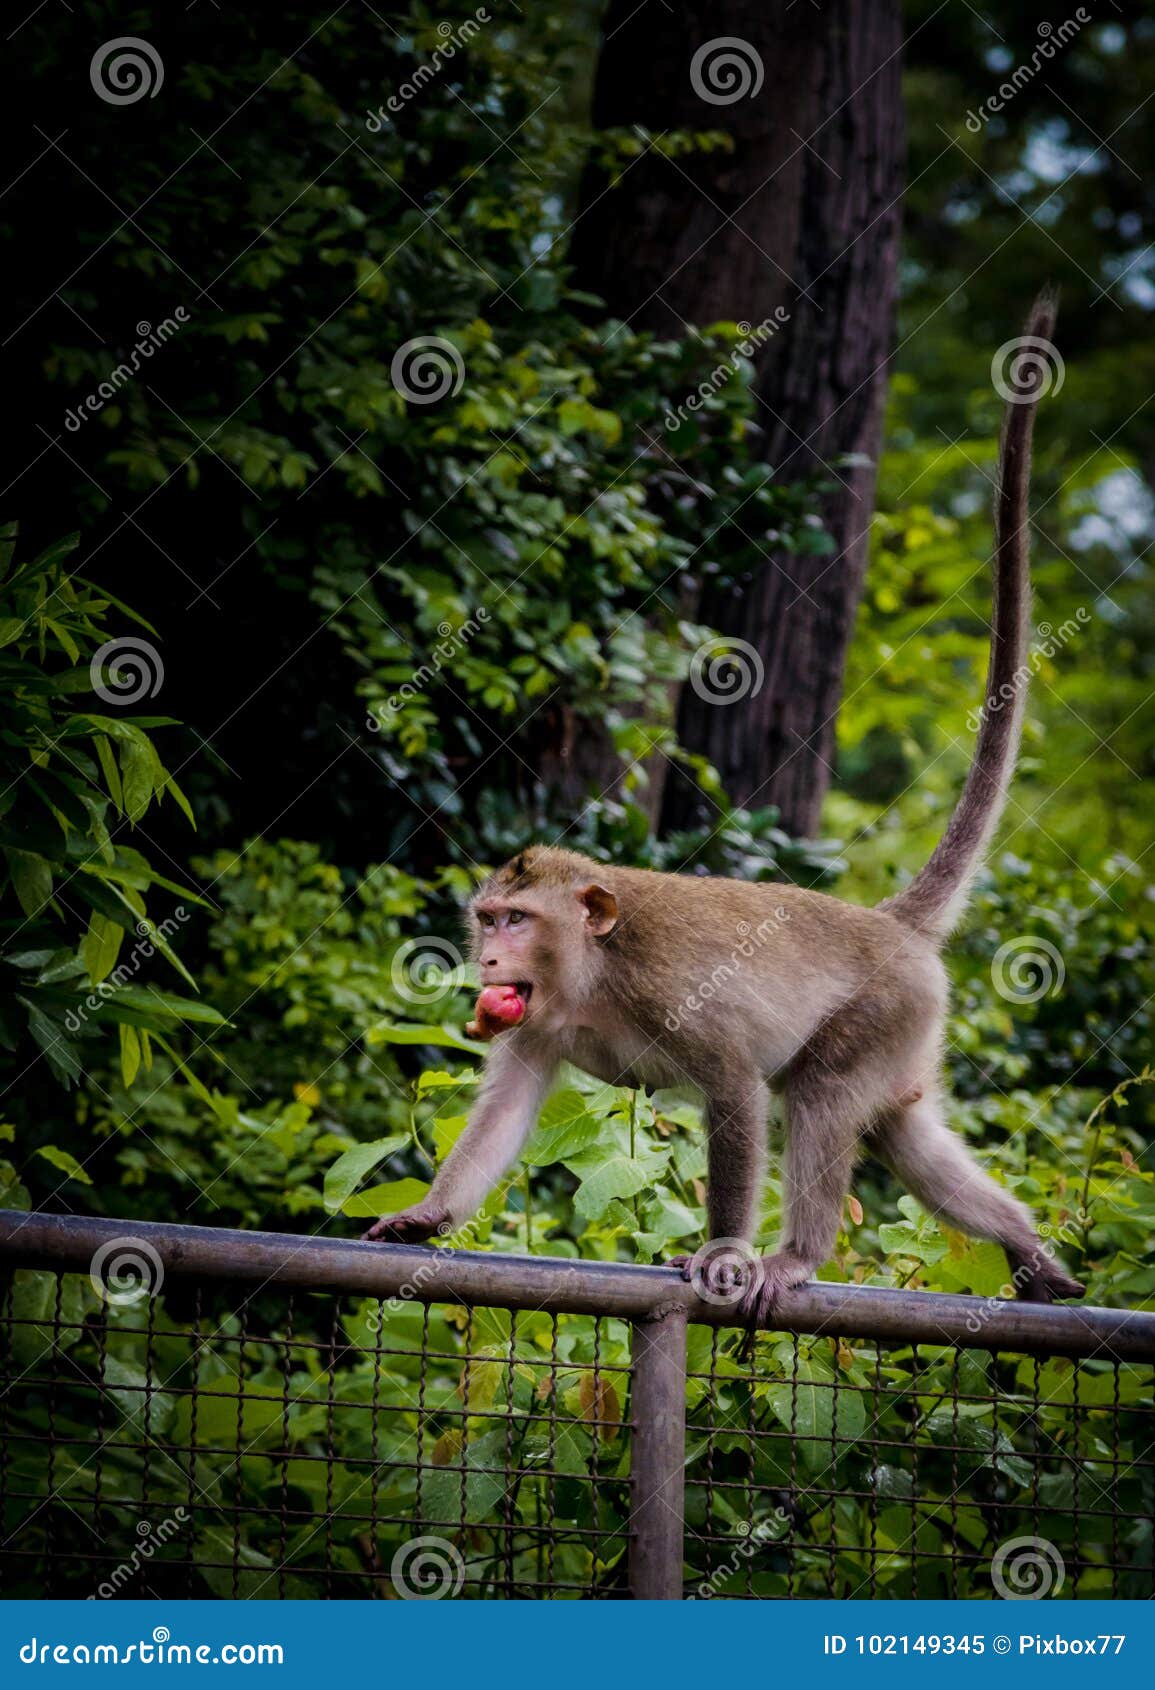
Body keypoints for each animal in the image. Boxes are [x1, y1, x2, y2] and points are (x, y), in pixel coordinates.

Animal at [364, 293, 1085, 1326]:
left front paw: (725, 1254)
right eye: (488, 919)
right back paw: (1027, 1249)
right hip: (913, 1029)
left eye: (516, 921)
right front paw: (427, 1216)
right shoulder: (539, 1024)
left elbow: (738, 1095)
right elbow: (506, 1110)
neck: (591, 973)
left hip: (884, 1006)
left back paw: (797, 1257)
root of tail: (886, 924)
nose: (490, 959)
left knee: (821, 1096)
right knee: (903, 1132)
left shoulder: (674, 996)